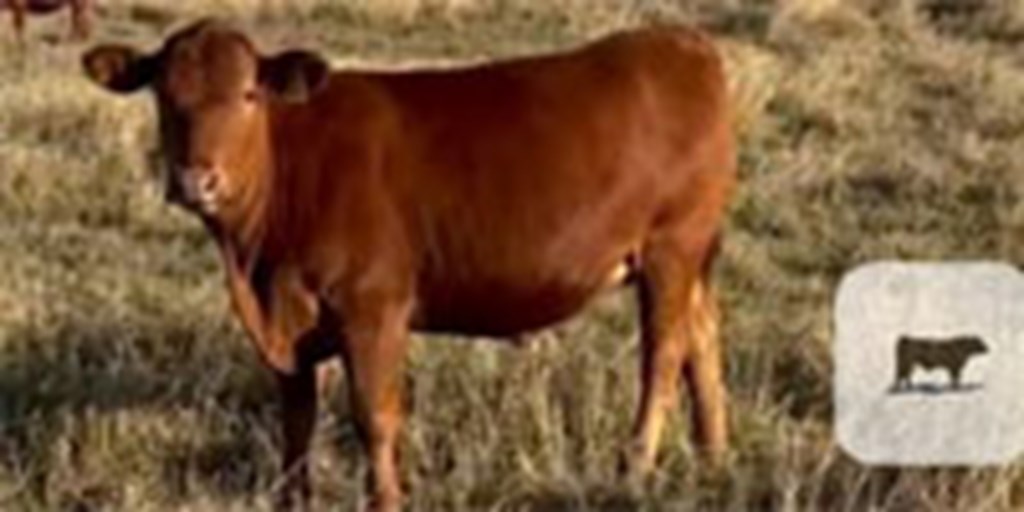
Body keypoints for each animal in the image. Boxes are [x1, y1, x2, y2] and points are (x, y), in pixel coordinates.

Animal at [81, 18, 736, 511]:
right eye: (164, 96)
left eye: (247, 94)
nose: (197, 180)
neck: (256, 264)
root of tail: (684, 42)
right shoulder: (288, 325)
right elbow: (296, 420)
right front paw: (292, 498)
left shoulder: (373, 307)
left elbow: (374, 416)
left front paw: (386, 500)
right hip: (693, 258)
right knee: (702, 342)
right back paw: (713, 456)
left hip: (671, 247)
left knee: (663, 354)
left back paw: (636, 466)